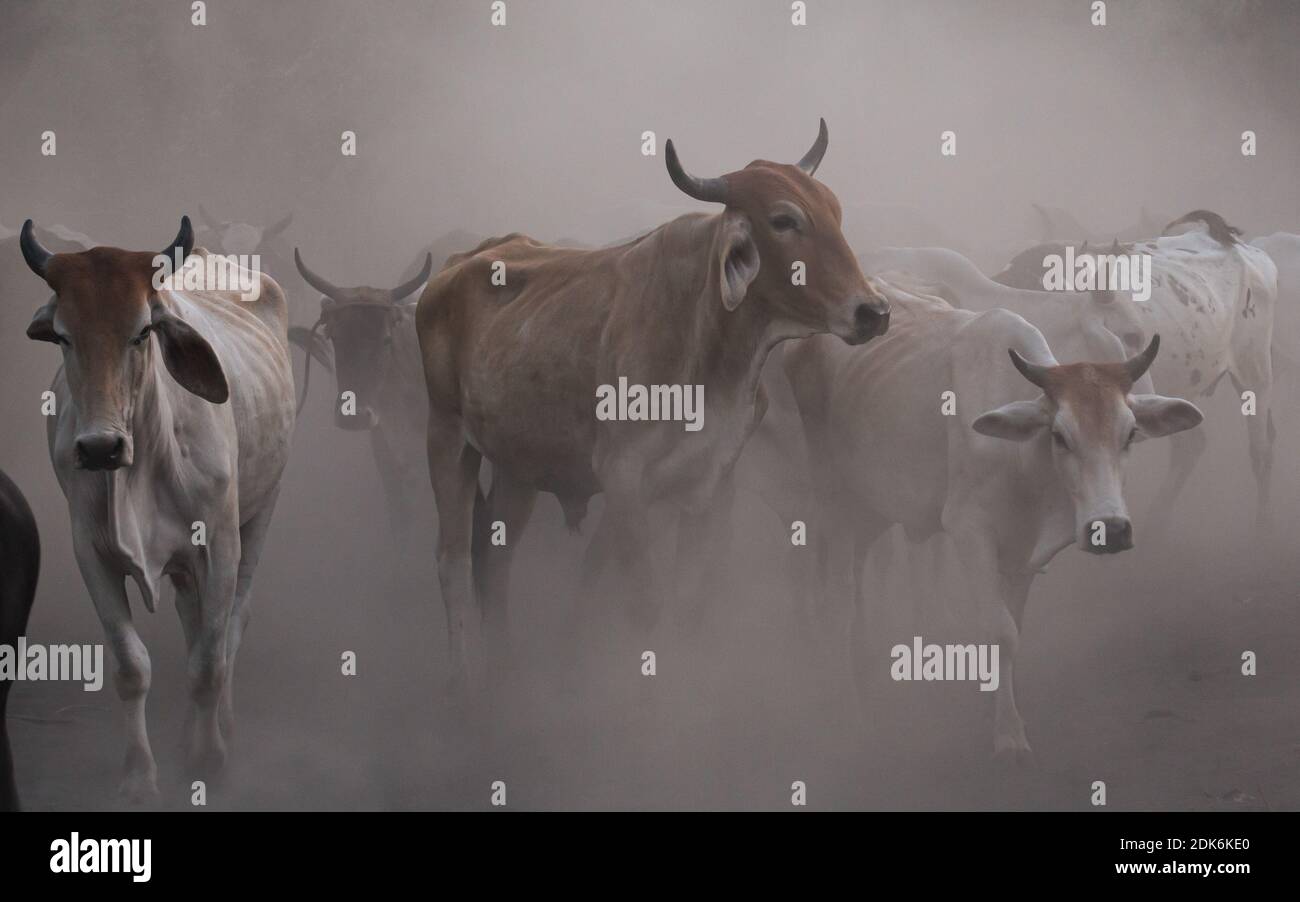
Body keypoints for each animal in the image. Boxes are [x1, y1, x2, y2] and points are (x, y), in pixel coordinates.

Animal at [19, 217, 295, 799]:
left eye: (142, 332)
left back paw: (221, 728)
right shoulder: (91, 554)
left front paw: (209, 758)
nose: (99, 448)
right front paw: (139, 777)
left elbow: (209, 662)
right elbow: (132, 667)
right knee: (193, 623)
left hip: (261, 514)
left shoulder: (220, 546)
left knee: (231, 628)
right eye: (63, 336)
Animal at [415, 120, 891, 682]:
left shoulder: (711, 486)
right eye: (784, 220)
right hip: (447, 438)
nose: (873, 312)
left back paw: (505, 669)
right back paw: (463, 681)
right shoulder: (623, 481)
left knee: (497, 558)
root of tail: (459, 263)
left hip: (518, 466)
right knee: (452, 562)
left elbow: (687, 606)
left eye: (834, 210)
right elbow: (645, 604)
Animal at [784, 291, 1203, 762]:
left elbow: (1013, 627)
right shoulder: (971, 533)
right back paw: (851, 718)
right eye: (1060, 436)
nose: (1111, 529)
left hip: (871, 510)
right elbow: (1000, 631)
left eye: (1128, 434)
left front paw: (1000, 707)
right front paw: (1008, 735)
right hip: (835, 502)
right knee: (835, 605)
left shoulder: (1023, 553)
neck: (1026, 464)